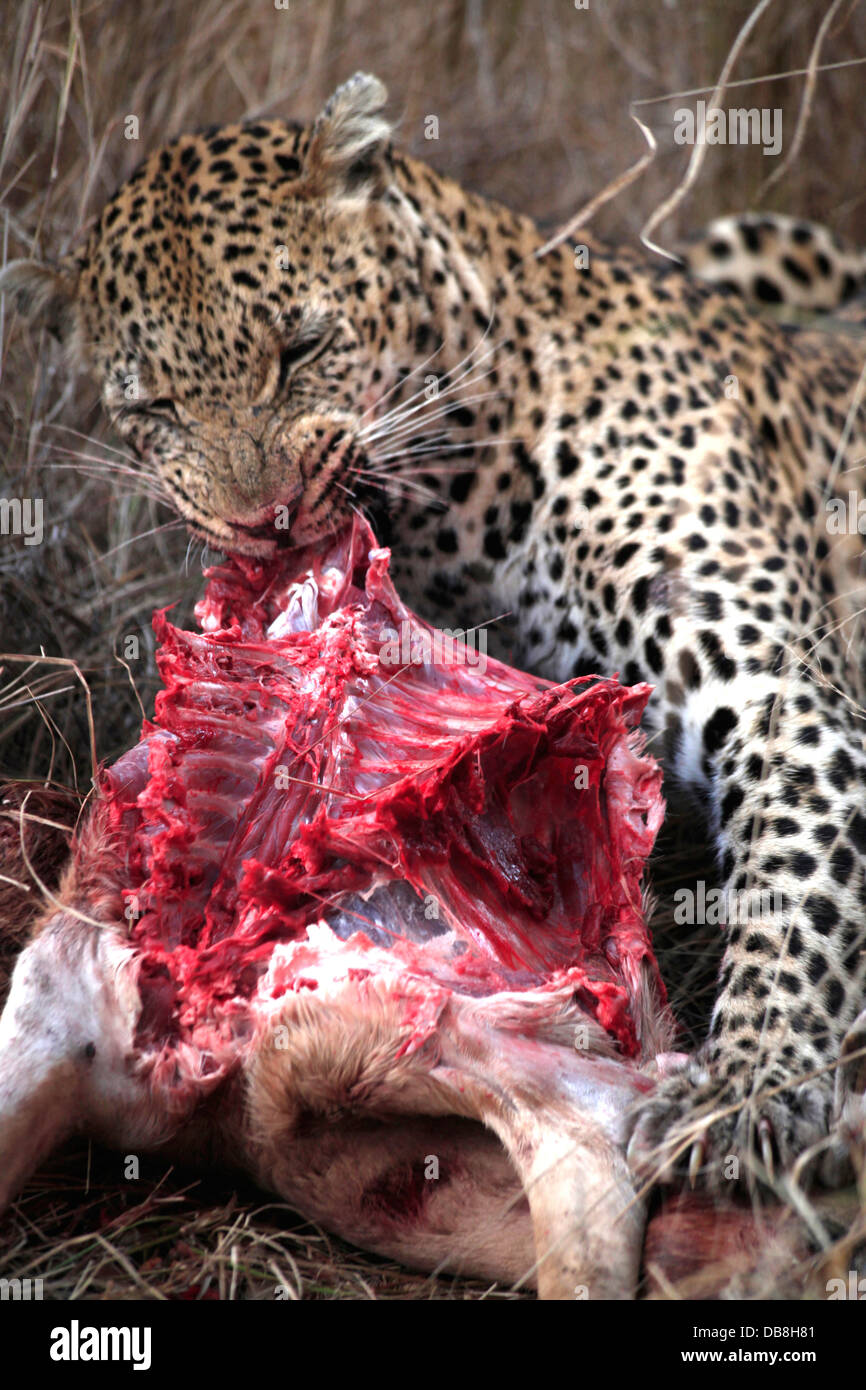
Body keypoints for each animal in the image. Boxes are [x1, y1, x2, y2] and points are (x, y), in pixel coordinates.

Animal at [3, 72, 866, 1193]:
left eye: (301, 349)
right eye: (155, 406)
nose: (262, 519)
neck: (457, 502)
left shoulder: (778, 696)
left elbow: (797, 888)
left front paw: (751, 1086)